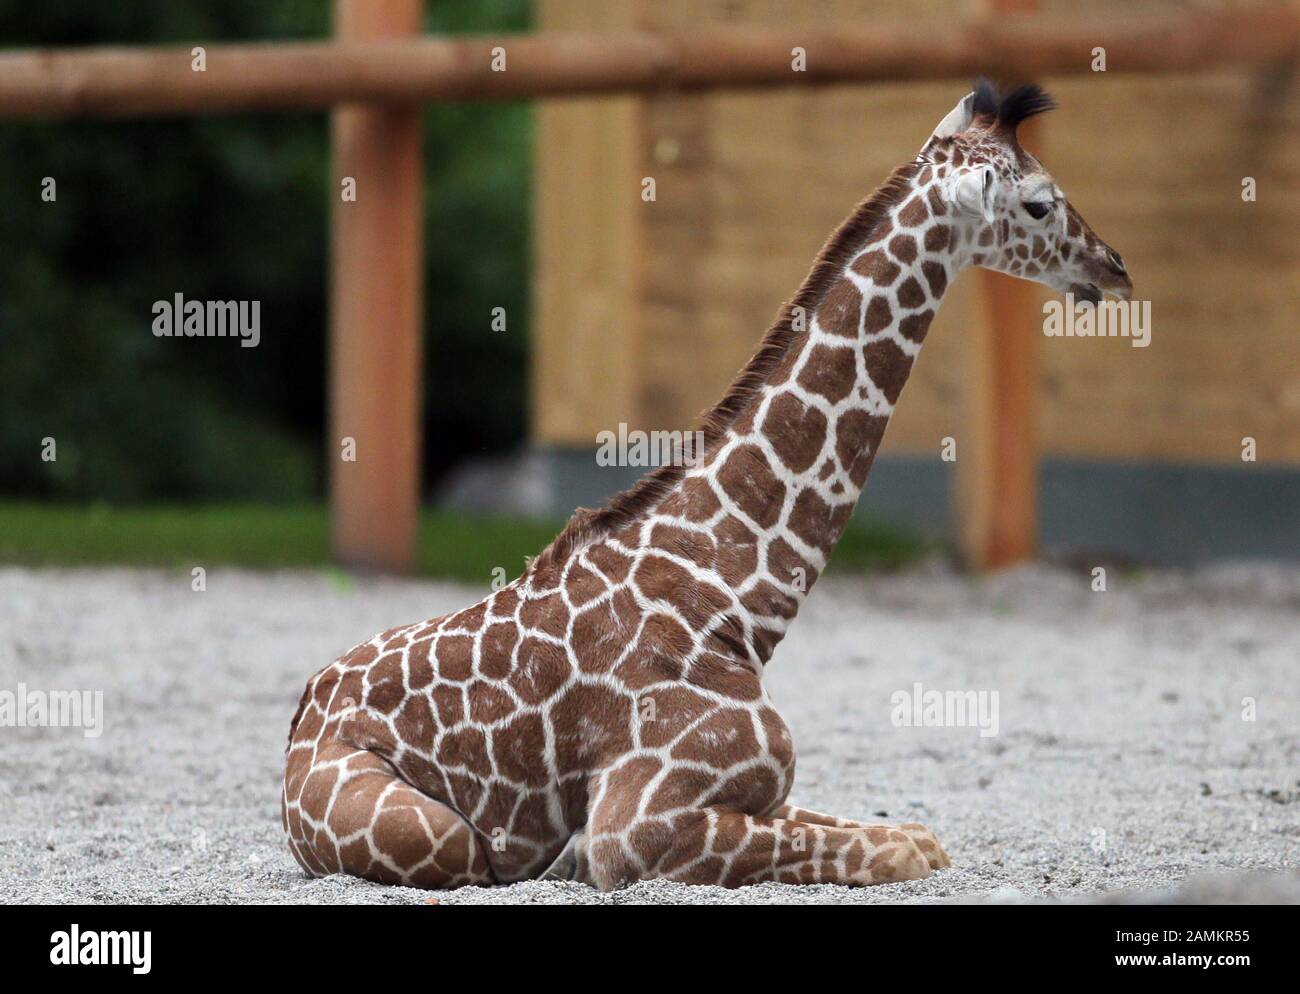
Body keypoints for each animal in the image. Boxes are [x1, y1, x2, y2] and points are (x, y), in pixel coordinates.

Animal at [282, 79, 1132, 891]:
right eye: (1040, 201)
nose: (1113, 267)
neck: (733, 596)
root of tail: (297, 729)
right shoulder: (635, 826)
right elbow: (900, 853)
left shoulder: (768, 794)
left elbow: (917, 836)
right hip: (443, 837)